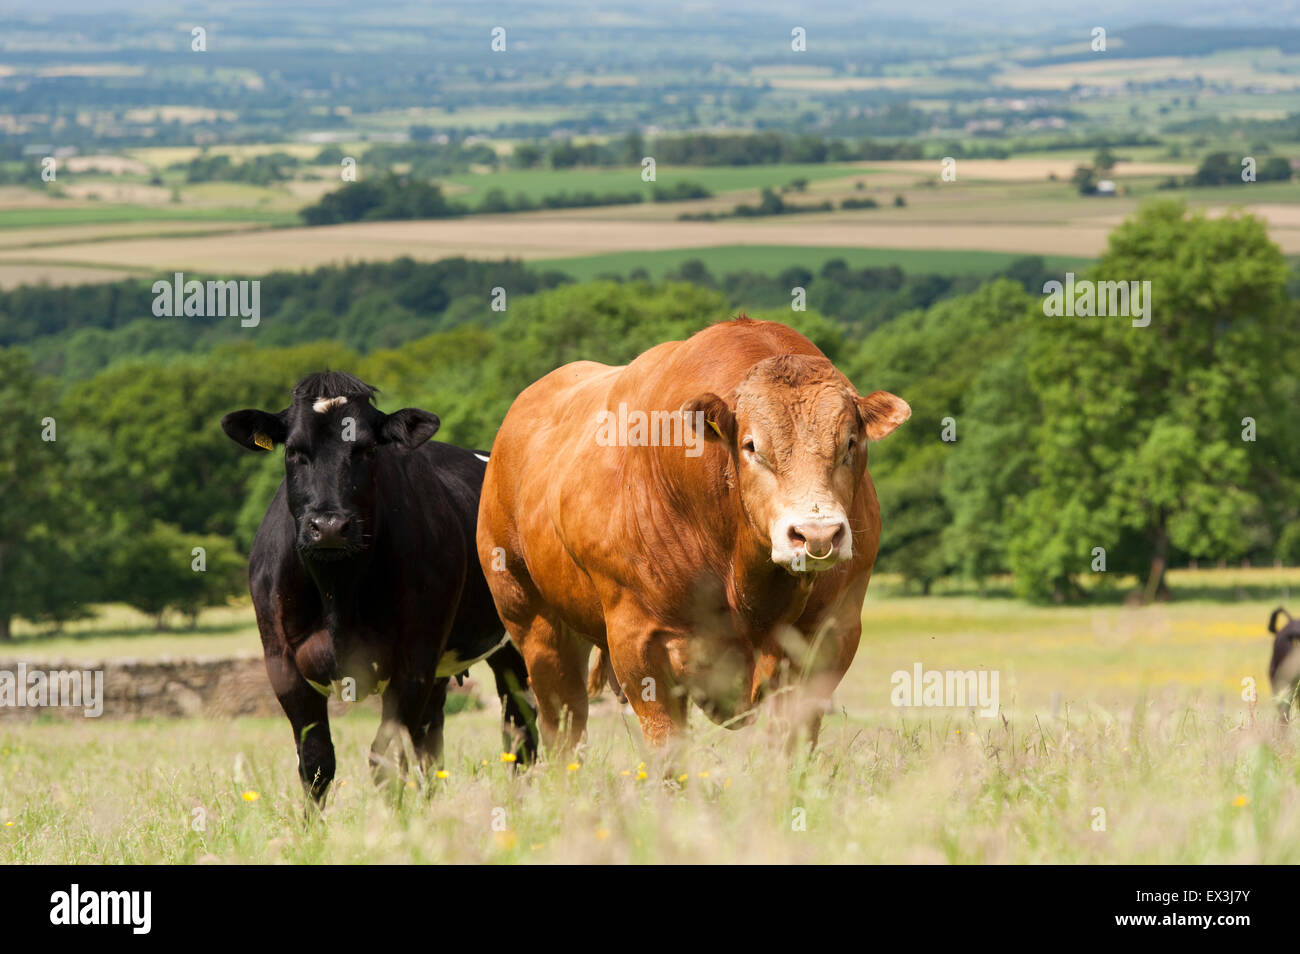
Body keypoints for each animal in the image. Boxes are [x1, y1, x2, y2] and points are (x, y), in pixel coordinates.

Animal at [222, 371, 537, 803]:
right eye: (294, 451)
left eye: (368, 450)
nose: (329, 526)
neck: (338, 590)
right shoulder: (282, 662)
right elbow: (316, 763)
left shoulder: (414, 659)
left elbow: (386, 758)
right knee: (431, 742)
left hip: (515, 643)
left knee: (521, 730)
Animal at [477, 317, 909, 754]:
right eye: (751, 446)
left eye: (850, 443)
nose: (817, 534)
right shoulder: (639, 645)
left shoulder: (832, 637)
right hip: (534, 625)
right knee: (563, 726)